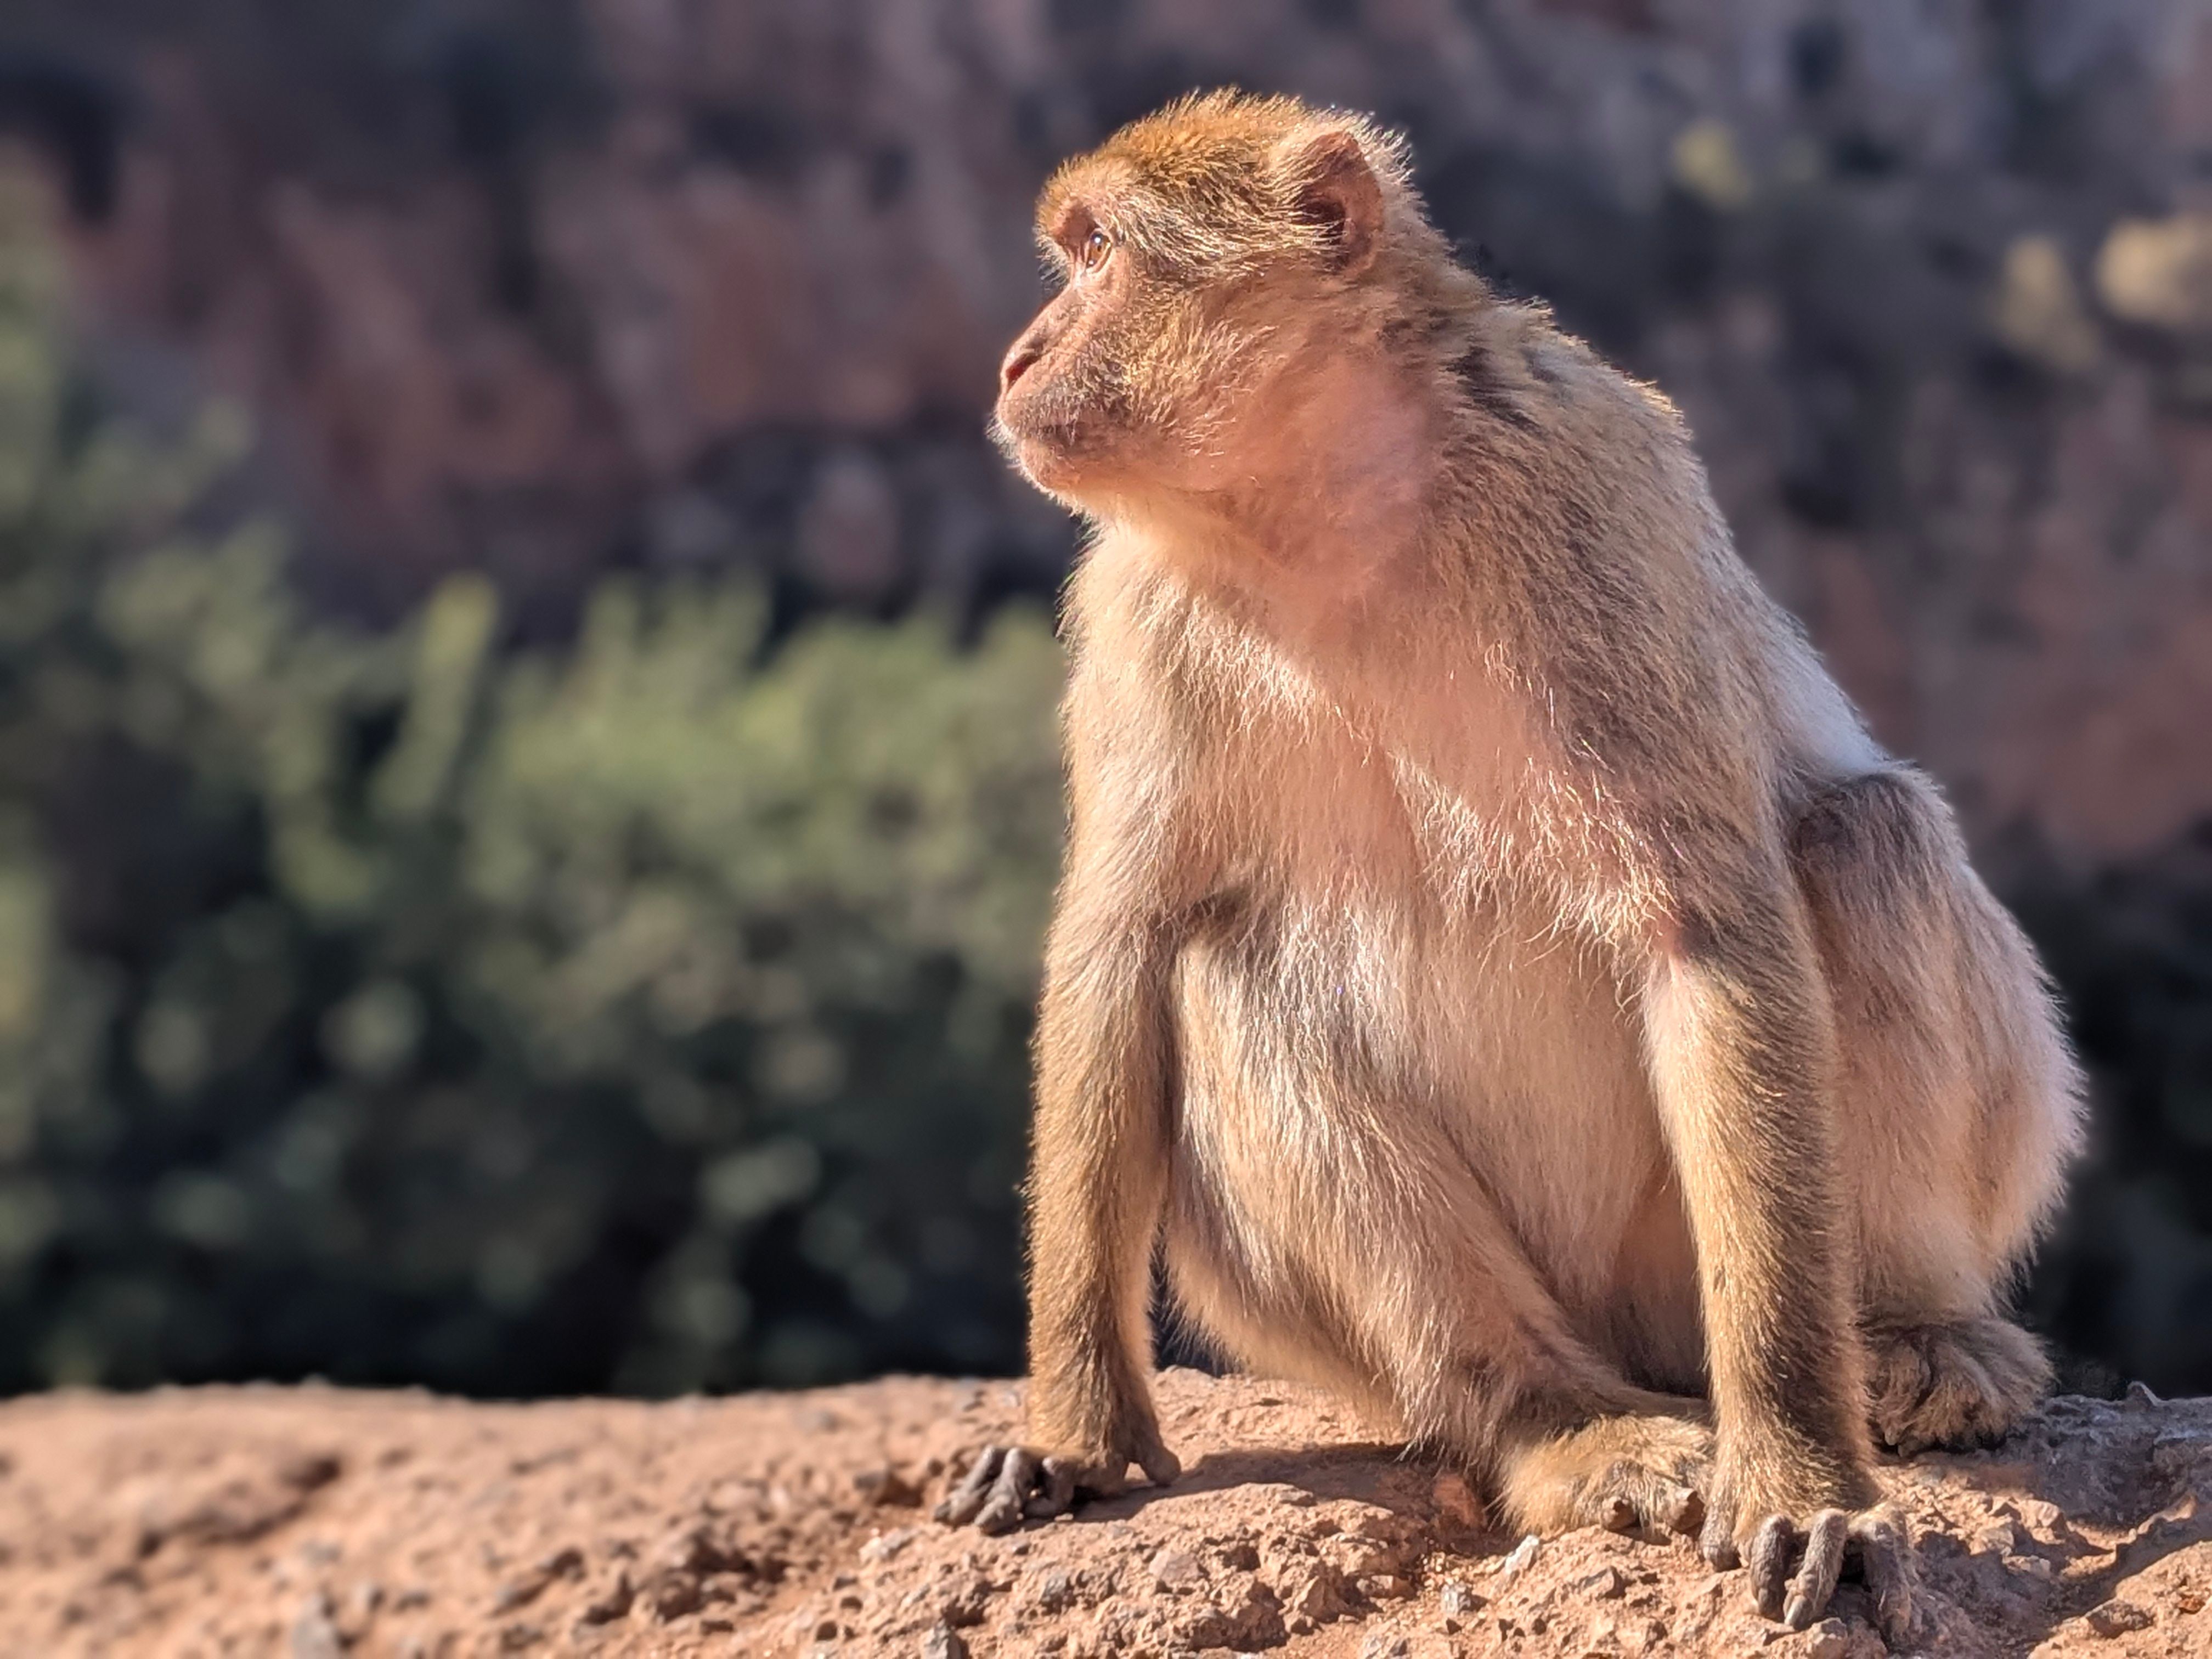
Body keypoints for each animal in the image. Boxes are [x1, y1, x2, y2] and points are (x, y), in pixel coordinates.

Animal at [936, 91, 2083, 1642]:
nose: (1016, 355)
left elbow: (1709, 929)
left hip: (1700, 1267)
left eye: (1097, 251)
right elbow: (1127, 944)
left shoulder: (1595, 486)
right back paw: (1559, 1424)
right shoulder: (1134, 610)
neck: (1330, 516)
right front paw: (1074, 1430)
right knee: (1225, 975)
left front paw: (1804, 1473)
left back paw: (1913, 1336)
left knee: (1866, 839)